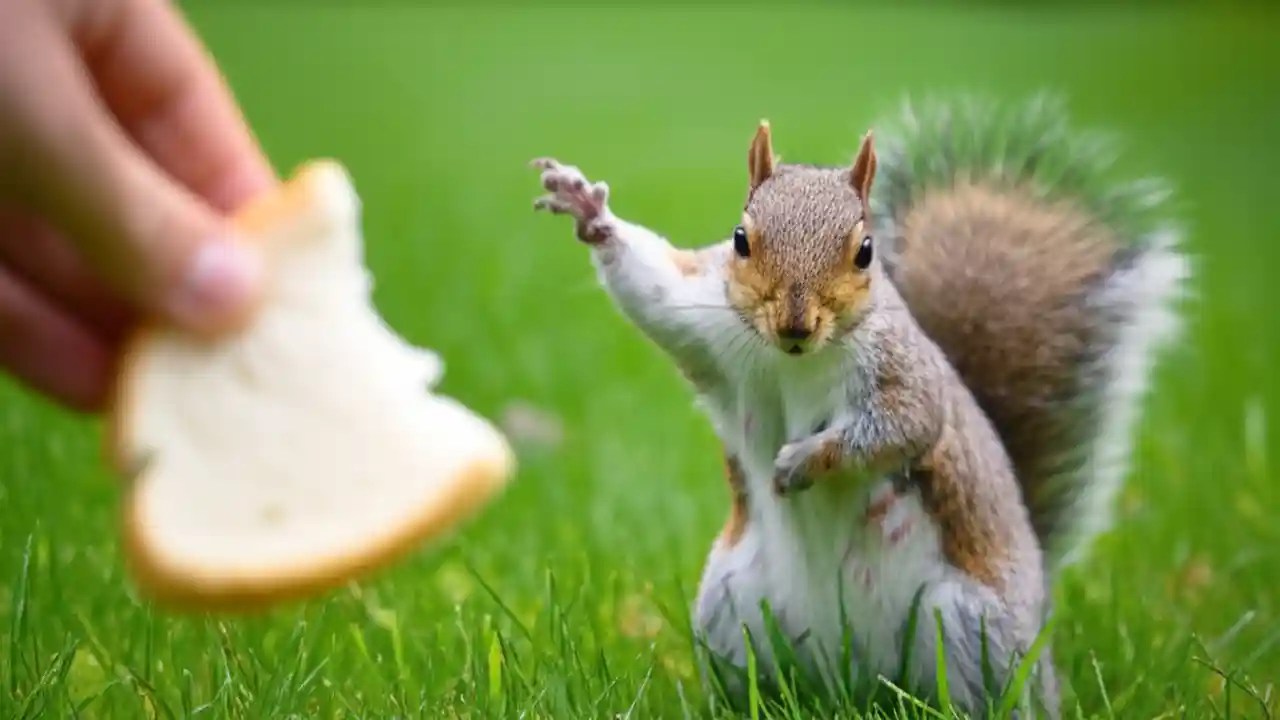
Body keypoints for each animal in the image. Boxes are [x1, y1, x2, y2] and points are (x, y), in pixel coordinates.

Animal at [529, 97, 1188, 717]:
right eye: (741, 240)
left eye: (865, 252)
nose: (795, 324)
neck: (796, 361)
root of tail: (849, 677)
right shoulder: (705, 319)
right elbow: (654, 293)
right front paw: (589, 212)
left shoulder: (903, 376)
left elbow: (903, 427)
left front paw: (802, 462)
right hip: (731, 606)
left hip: (972, 631)